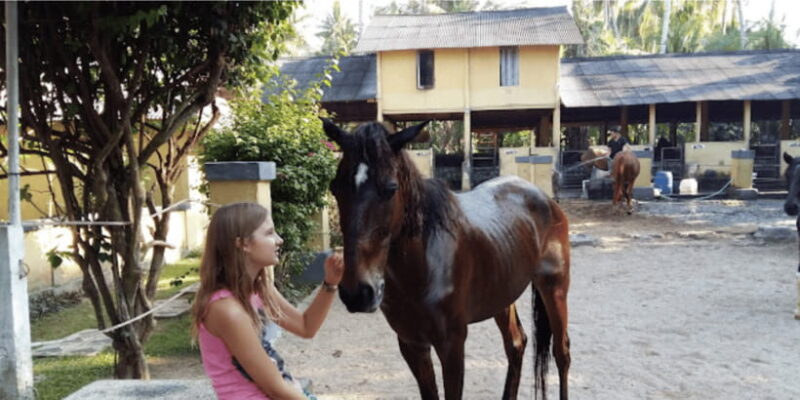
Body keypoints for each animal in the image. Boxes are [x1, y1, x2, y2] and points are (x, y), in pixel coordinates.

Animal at [322, 118, 572, 400]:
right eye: (335, 188)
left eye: (391, 188)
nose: (358, 293)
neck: (422, 268)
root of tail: (544, 198)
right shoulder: (412, 344)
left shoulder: (452, 345)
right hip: (502, 295)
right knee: (516, 343)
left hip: (554, 288)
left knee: (561, 352)